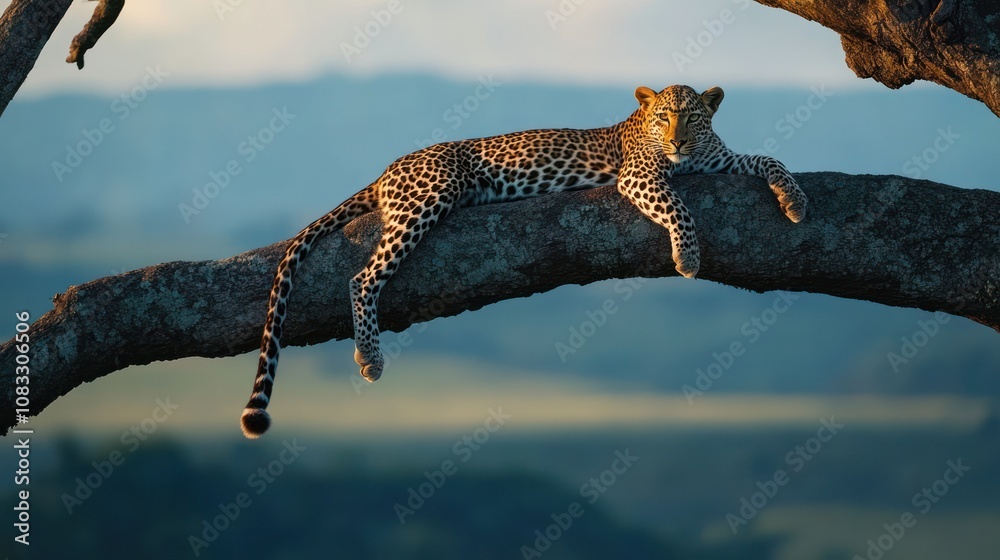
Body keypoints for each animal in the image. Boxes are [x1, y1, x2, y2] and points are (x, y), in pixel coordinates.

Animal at [240, 84, 808, 438]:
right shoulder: (640, 176)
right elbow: (679, 207)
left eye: (691, 116)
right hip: (430, 193)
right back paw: (370, 357)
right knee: (363, 276)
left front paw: (795, 200)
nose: (677, 141)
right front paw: (687, 255)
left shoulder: (720, 160)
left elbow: (770, 159)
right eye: (663, 116)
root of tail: (388, 168)